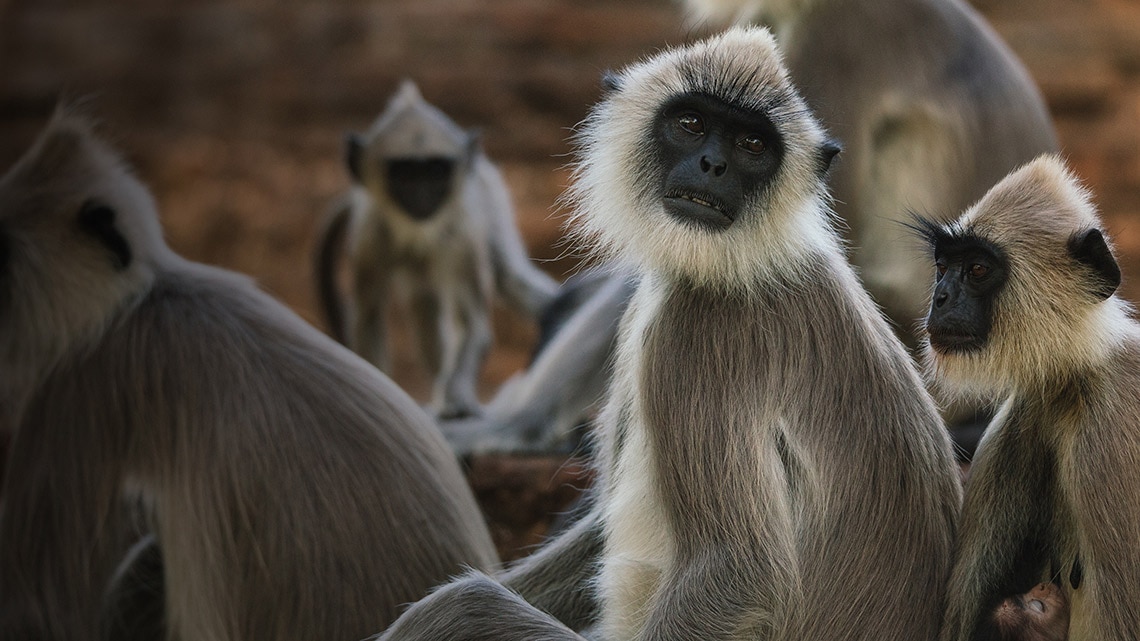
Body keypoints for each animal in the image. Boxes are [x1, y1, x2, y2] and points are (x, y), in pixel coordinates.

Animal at [315, 79, 559, 420]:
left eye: (436, 170)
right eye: (405, 173)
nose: (422, 193)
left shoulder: (462, 233)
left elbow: (472, 325)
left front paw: (457, 401)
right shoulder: (370, 235)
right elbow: (368, 317)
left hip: (487, 194)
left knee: (509, 279)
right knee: (424, 307)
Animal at [376, 26, 962, 641]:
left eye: (752, 144)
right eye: (691, 124)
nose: (711, 165)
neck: (748, 258)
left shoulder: (701, 331)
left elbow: (739, 571)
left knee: (466, 604)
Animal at [912, 155, 1140, 641]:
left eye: (978, 270)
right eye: (943, 265)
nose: (940, 297)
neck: (1078, 383)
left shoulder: (1110, 442)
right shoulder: (1025, 416)